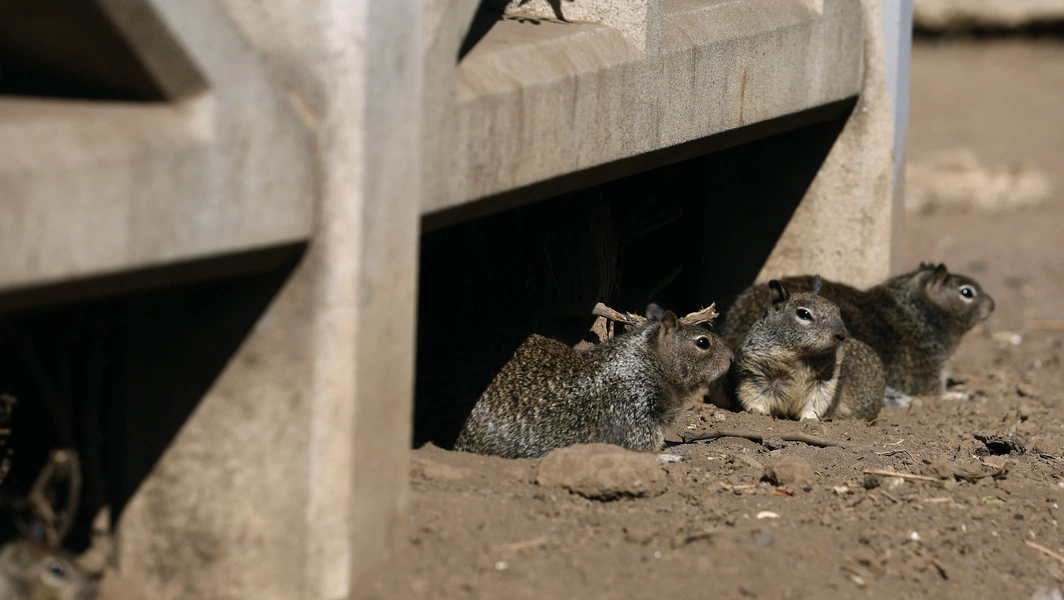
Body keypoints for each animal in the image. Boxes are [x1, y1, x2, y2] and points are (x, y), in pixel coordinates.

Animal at [453, 304, 733, 459]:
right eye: (703, 342)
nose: (731, 357)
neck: (645, 363)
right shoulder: (635, 415)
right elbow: (644, 448)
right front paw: (668, 456)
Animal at [722, 263, 995, 404]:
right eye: (967, 292)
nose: (993, 305)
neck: (915, 308)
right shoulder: (928, 366)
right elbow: (936, 392)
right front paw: (959, 393)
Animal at [725, 277, 884, 421]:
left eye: (837, 310)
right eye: (804, 314)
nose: (841, 334)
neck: (801, 356)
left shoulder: (827, 381)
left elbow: (817, 402)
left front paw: (810, 419)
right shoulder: (754, 370)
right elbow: (753, 395)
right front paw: (758, 412)